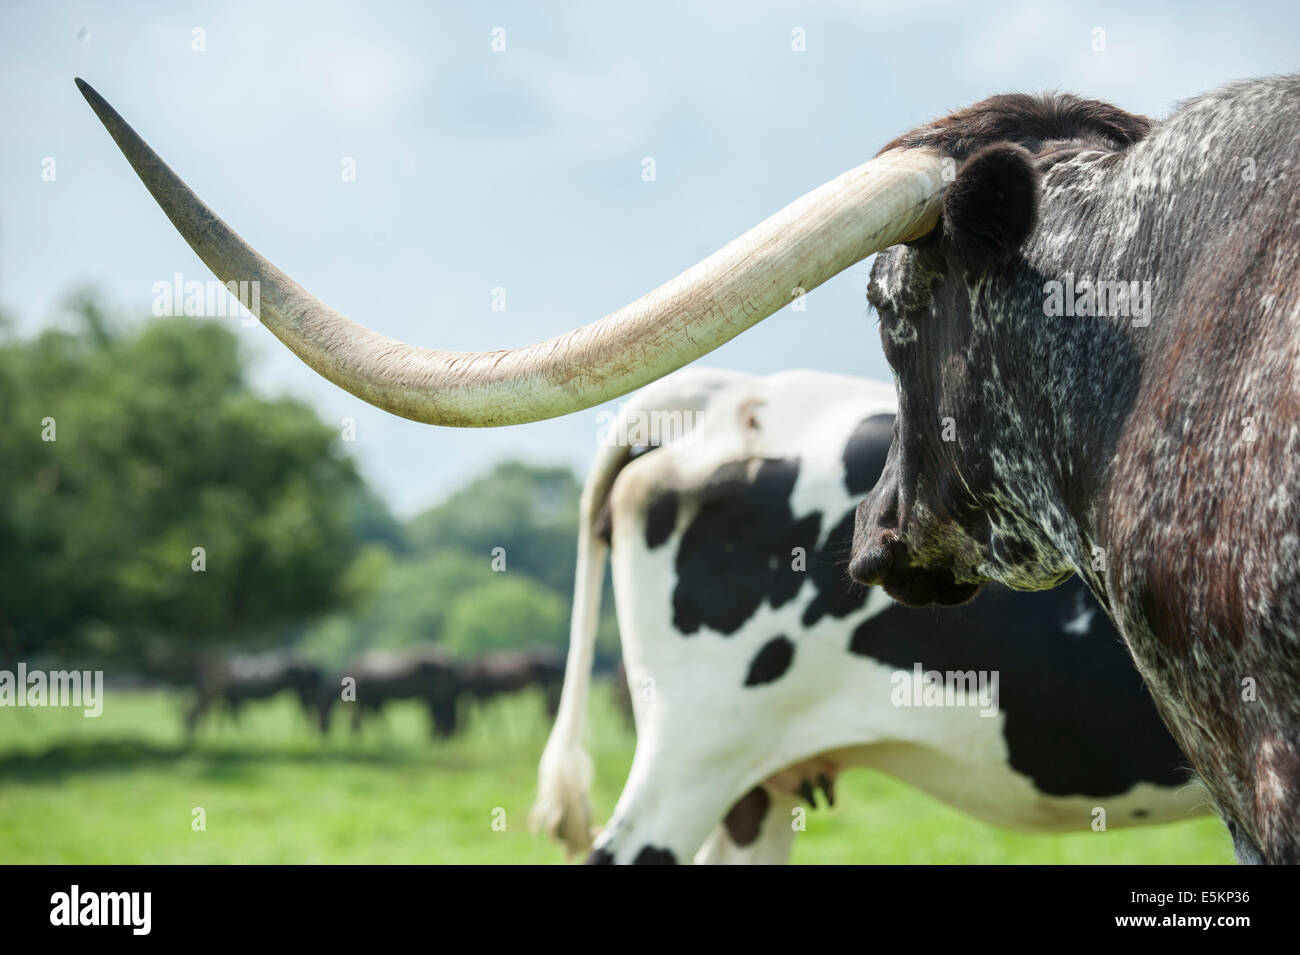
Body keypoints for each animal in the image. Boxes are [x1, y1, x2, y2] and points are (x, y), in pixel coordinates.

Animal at [186, 652, 323, 734]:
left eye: (188, 720)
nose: (190, 735)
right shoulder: (234, 699)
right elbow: (234, 717)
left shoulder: (233, 699)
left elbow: (234, 717)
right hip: (300, 693)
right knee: (307, 711)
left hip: (302, 692)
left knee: (307, 711)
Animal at [321, 647, 464, 740]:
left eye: (324, 709)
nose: (323, 729)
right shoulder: (373, 701)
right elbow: (375, 718)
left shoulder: (365, 701)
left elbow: (360, 719)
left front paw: (358, 735)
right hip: (439, 699)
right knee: (445, 717)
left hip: (435, 699)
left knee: (441, 717)